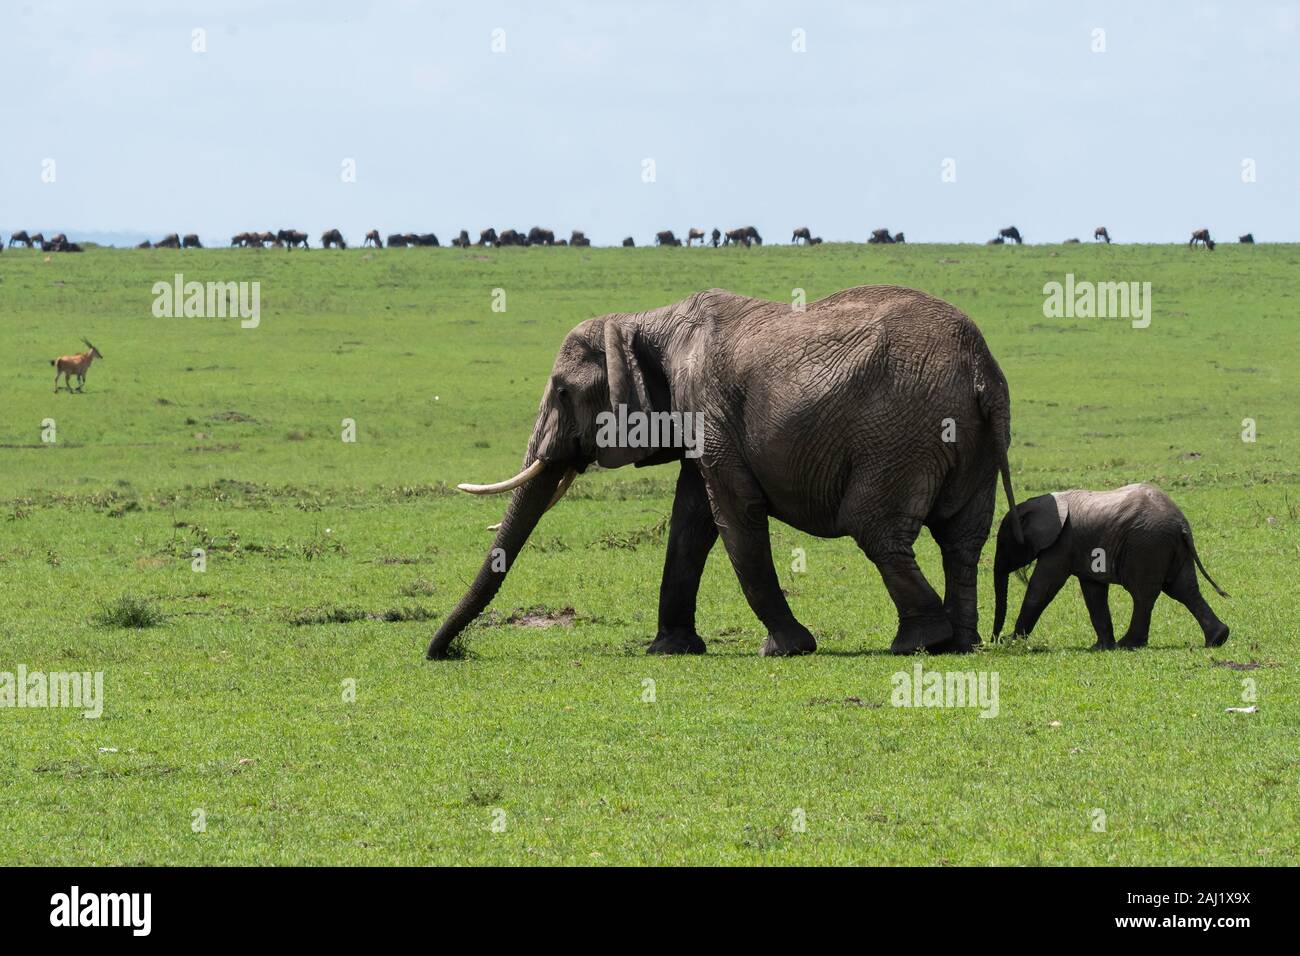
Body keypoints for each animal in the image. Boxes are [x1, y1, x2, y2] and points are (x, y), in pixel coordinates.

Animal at [426, 284, 1022, 661]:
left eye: (562, 391)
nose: (441, 654)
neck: (648, 323)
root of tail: (981, 369)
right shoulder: (696, 419)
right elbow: (690, 522)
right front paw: (669, 650)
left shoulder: (709, 406)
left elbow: (733, 516)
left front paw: (785, 649)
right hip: (967, 438)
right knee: (961, 537)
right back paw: (960, 642)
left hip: (900, 431)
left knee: (875, 527)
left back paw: (920, 642)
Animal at [991, 484, 1229, 650]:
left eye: (1002, 544)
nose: (995, 640)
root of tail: (1182, 524)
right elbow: (1093, 593)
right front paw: (1100, 647)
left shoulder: (1060, 545)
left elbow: (1041, 588)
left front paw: (1011, 642)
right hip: (1170, 547)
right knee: (1184, 590)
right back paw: (1218, 638)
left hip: (1147, 544)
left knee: (1143, 595)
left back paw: (1128, 644)